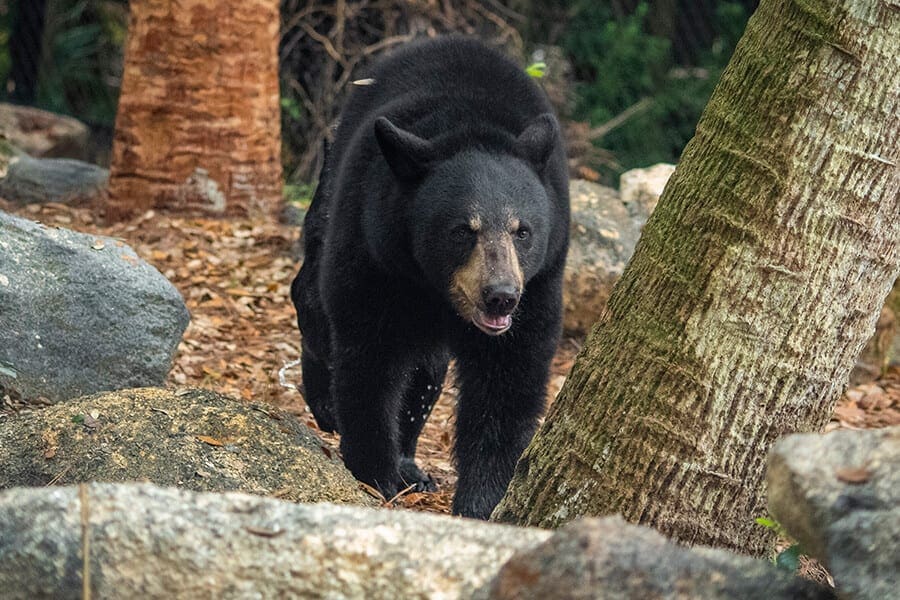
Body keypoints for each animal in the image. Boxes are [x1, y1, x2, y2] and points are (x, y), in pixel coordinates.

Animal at [290, 36, 569, 519]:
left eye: (523, 231)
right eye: (462, 230)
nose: (500, 296)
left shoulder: (540, 284)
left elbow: (508, 381)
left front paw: (482, 500)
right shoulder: (375, 248)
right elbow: (370, 356)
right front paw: (374, 473)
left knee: (426, 371)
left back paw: (412, 466)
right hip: (331, 195)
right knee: (315, 306)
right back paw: (326, 403)